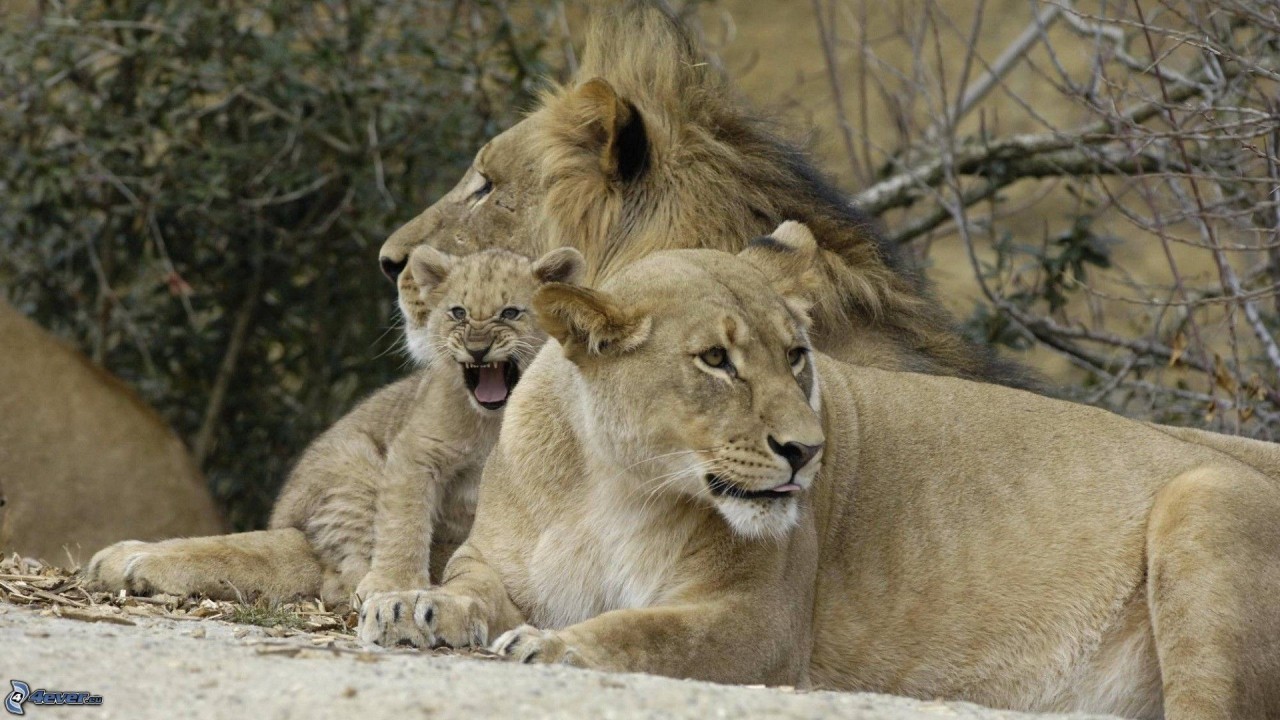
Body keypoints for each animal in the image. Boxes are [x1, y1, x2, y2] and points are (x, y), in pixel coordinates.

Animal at [85, 247, 584, 617]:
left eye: (511, 313)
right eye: (458, 313)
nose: (477, 348)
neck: (489, 419)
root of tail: (285, 517)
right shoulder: (414, 450)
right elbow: (405, 523)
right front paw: (394, 585)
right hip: (354, 463)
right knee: (337, 577)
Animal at [366, 222, 1280, 720]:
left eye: (796, 355)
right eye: (716, 361)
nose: (807, 452)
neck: (614, 484)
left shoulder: (763, 621)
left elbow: (648, 630)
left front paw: (555, 645)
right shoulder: (497, 557)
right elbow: (468, 585)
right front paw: (411, 604)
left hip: (1202, 497)